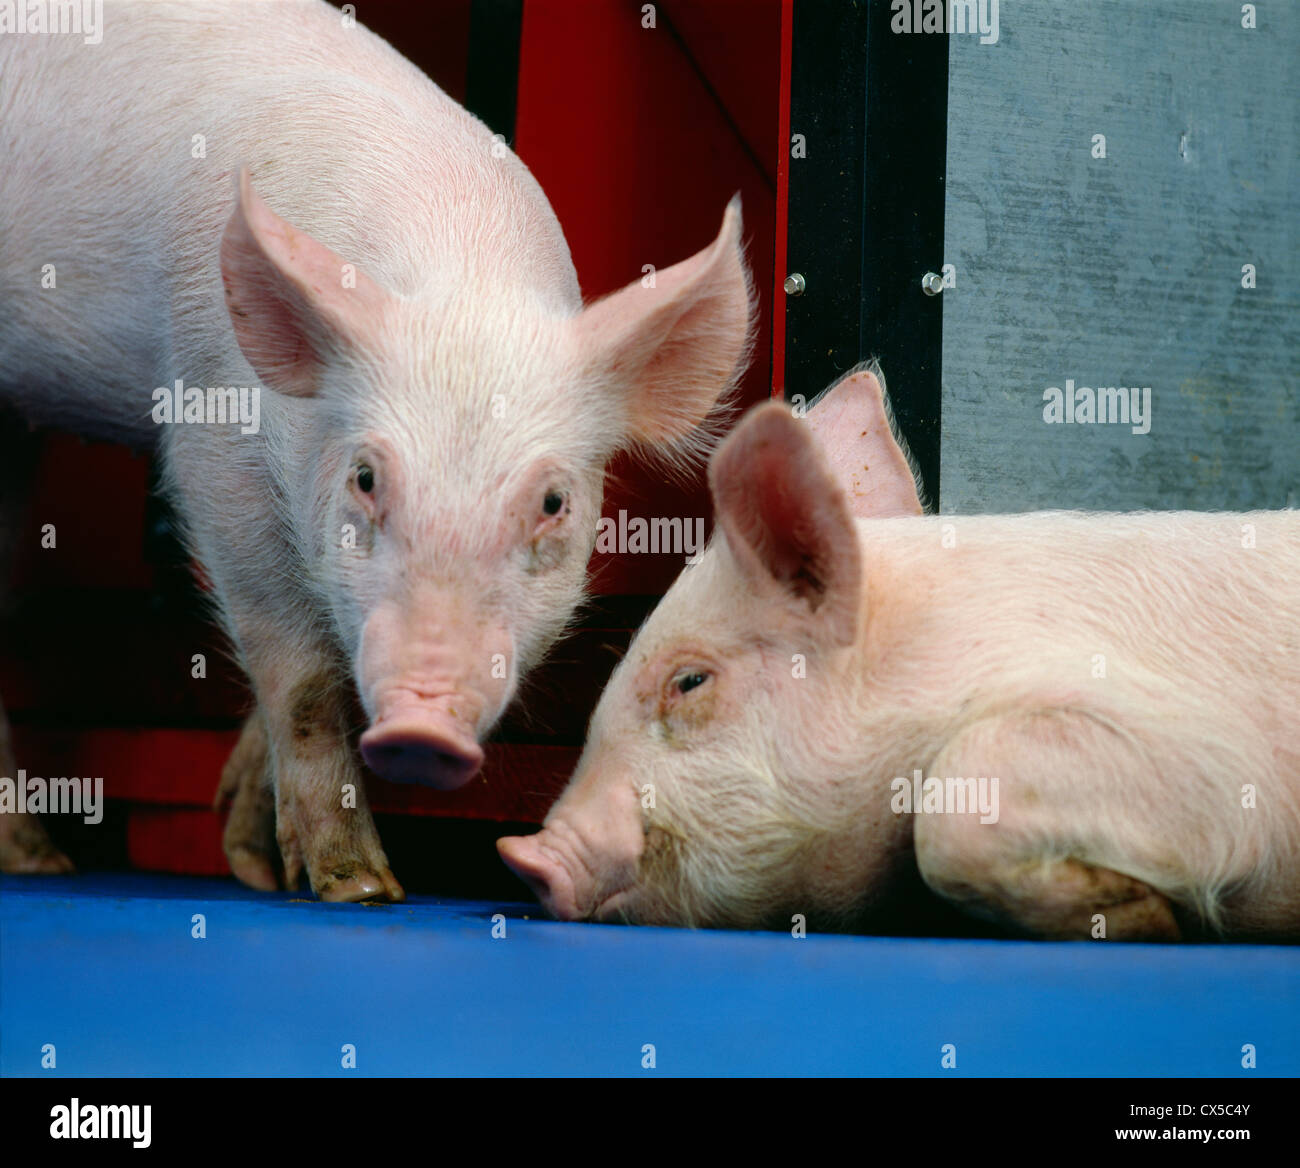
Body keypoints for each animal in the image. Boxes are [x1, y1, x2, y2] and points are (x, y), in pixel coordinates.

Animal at [0, 1, 752, 899]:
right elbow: (300, 673)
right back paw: (40, 863)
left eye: (553, 502)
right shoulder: (209, 439)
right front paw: (355, 888)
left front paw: (253, 860)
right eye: (365, 477)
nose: (422, 728)